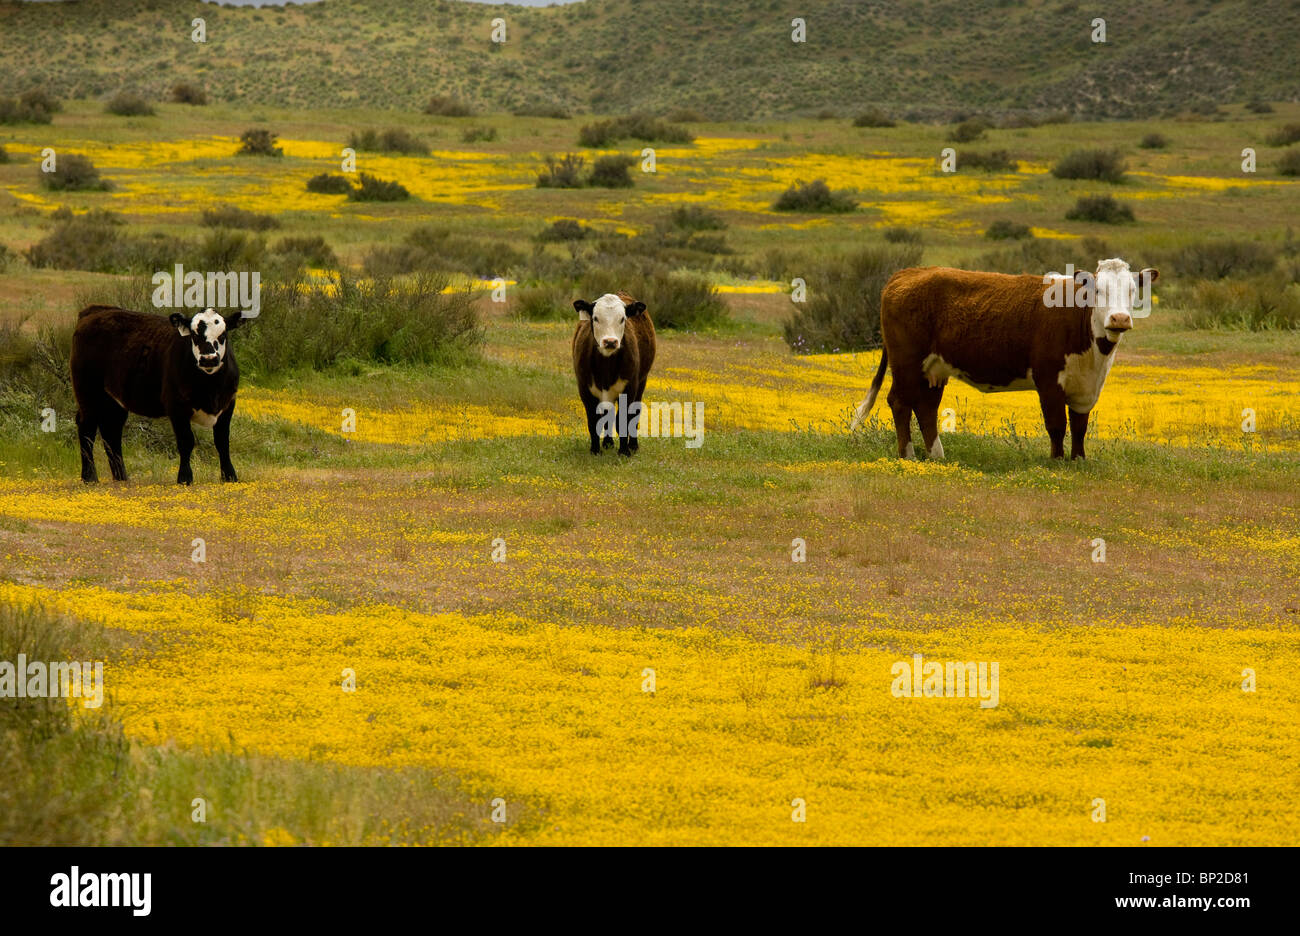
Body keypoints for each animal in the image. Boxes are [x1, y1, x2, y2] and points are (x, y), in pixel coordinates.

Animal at [70, 305, 253, 484]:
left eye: (223, 334)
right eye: (194, 335)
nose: (208, 359)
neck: (211, 388)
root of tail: (96, 310)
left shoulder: (228, 403)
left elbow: (222, 441)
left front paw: (230, 476)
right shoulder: (176, 406)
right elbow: (186, 441)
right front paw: (184, 478)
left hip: (115, 401)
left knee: (111, 430)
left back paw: (121, 477)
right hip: (88, 393)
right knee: (87, 428)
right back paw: (90, 477)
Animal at [571, 292, 656, 456]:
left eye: (622, 318)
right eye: (595, 318)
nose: (610, 341)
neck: (606, 368)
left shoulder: (630, 388)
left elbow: (623, 420)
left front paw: (624, 451)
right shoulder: (584, 388)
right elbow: (594, 421)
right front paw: (595, 450)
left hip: (642, 382)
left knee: (635, 413)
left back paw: (633, 445)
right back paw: (608, 442)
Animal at [849, 258, 1158, 460]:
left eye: (1133, 290)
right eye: (1098, 290)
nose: (1120, 319)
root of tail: (908, 272)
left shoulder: (1086, 386)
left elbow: (1079, 426)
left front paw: (1078, 460)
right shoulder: (1048, 379)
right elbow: (1057, 424)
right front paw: (1057, 461)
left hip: (933, 369)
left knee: (926, 408)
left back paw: (937, 455)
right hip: (906, 363)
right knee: (900, 402)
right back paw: (908, 455)